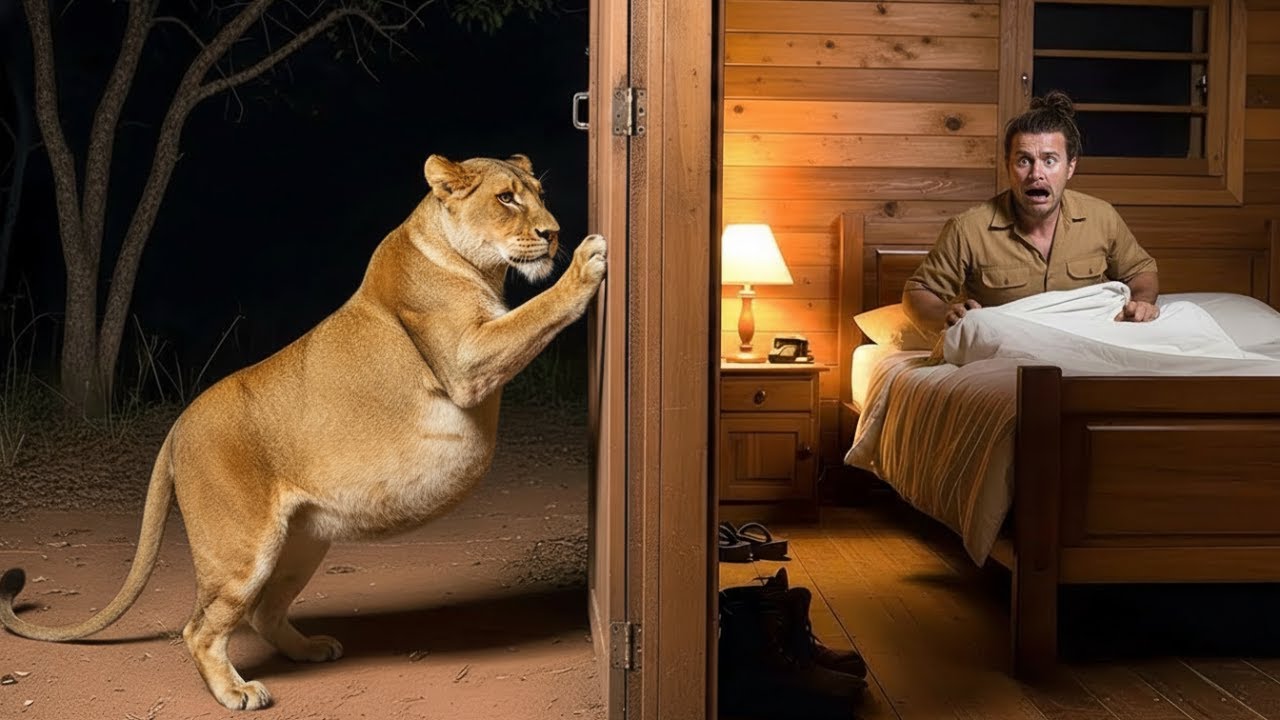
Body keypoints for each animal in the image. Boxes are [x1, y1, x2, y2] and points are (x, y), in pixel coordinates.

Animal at [0, 153, 606, 711]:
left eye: (538, 194)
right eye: (506, 198)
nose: (553, 234)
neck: (479, 267)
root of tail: (174, 429)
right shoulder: (465, 361)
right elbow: (536, 312)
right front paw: (586, 263)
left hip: (301, 544)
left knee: (263, 612)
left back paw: (311, 649)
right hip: (240, 551)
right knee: (201, 629)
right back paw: (237, 692)